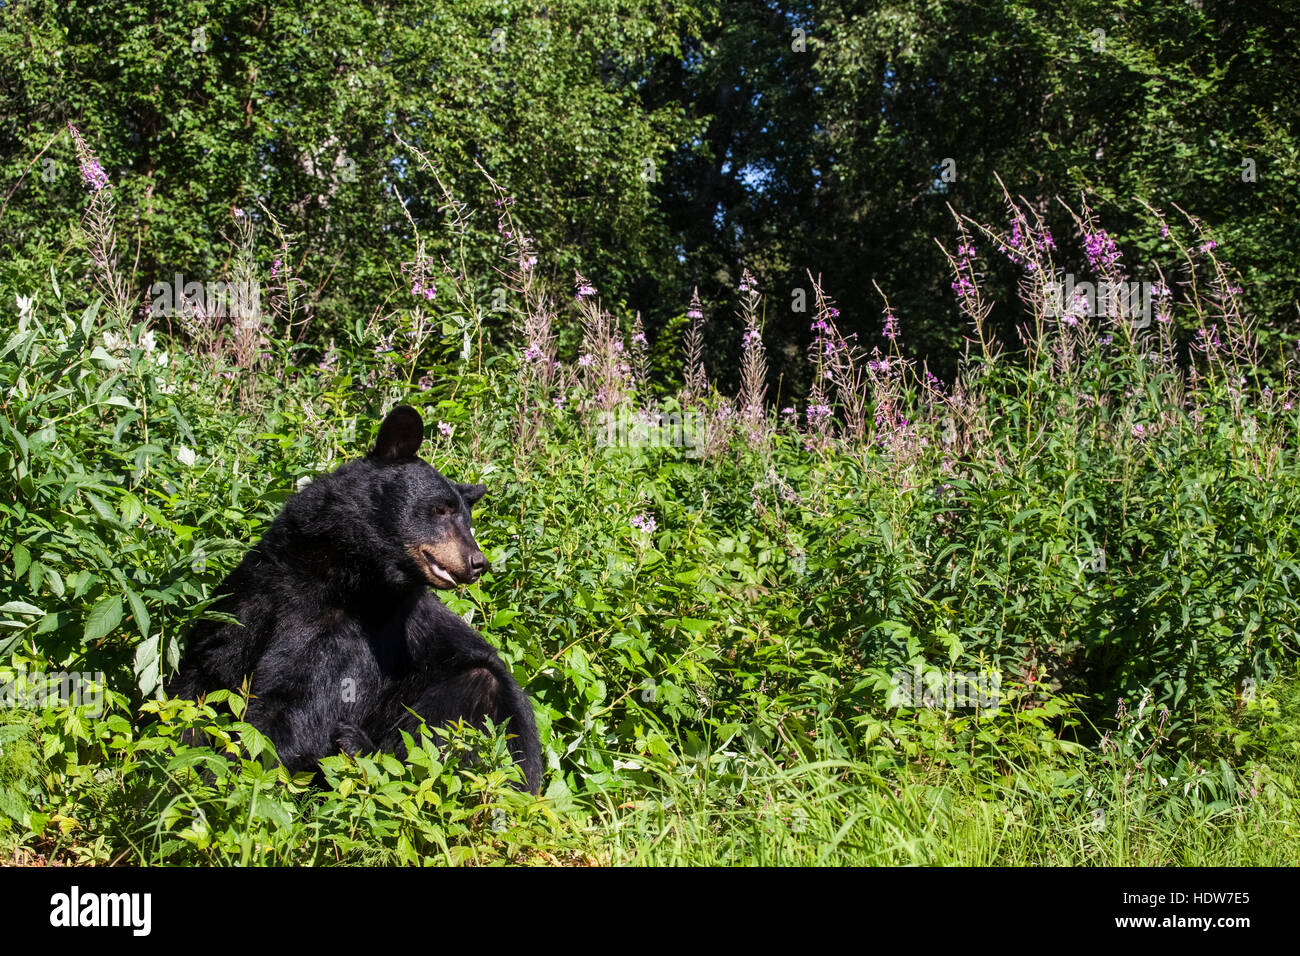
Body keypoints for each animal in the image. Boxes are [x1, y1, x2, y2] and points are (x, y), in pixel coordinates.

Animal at [167, 405, 542, 793]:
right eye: (441, 509)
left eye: (467, 521)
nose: (478, 562)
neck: (333, 574)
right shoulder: (255, 592)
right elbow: (202, 676)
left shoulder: (358, 635)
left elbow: (298, 707)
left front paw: (217, 782)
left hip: (493, 728)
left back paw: (357, 746)